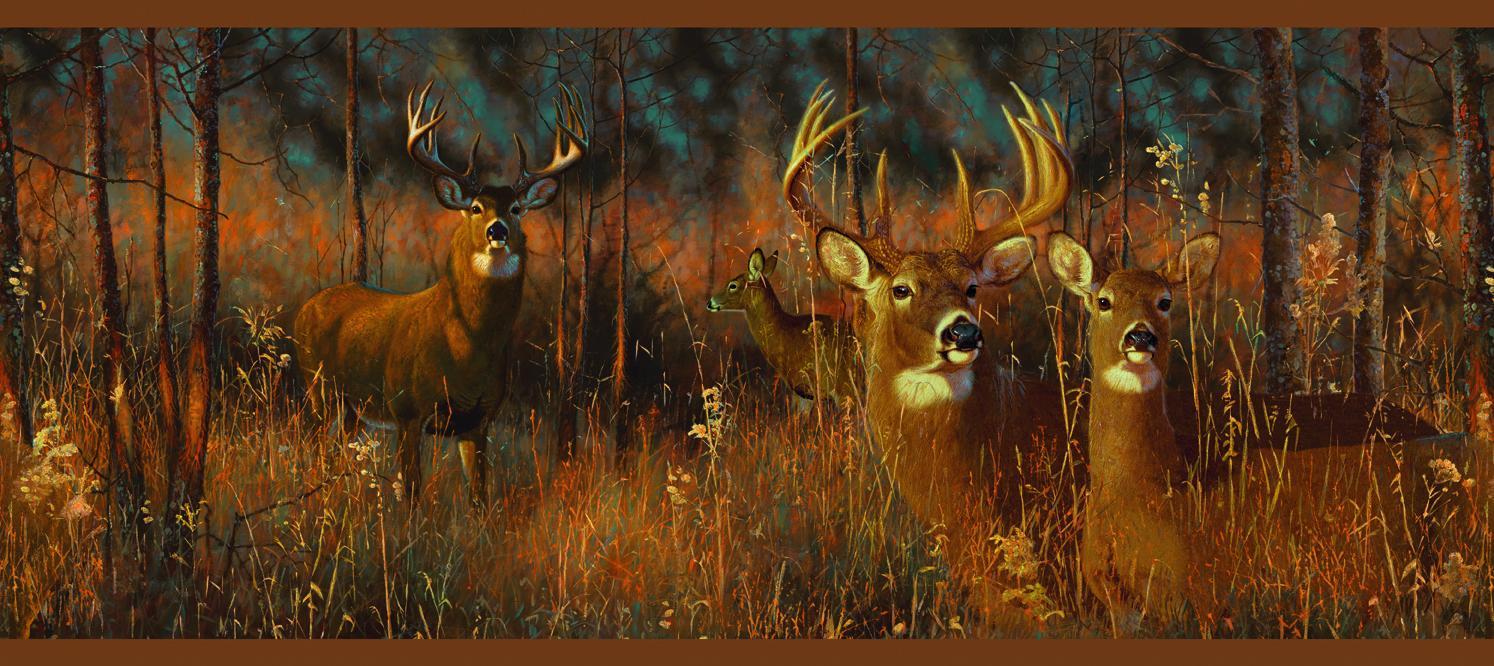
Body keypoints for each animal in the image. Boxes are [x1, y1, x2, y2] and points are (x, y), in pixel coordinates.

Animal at [294, 82, 588, 505]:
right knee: (314, 449)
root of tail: (306, 306)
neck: (466, 348)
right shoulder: (406, 410)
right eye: (476, 207)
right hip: (320, 388)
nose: (497, 230)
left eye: (516, 208)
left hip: (351, 409)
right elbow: (412, 494)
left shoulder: (479, 420)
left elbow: (480, 498)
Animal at [706, 248, 861, 404]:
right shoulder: (802, 391)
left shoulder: (813, 385)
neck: (784, 333)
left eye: (733, 285)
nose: (710, 302)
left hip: (842, 382)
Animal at [1049, 231, 1467, 634]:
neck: (1153, 489)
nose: (1139, 337)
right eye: (1104, 301)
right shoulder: (1114, 597)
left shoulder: (1199, 591)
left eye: (1164, 301)